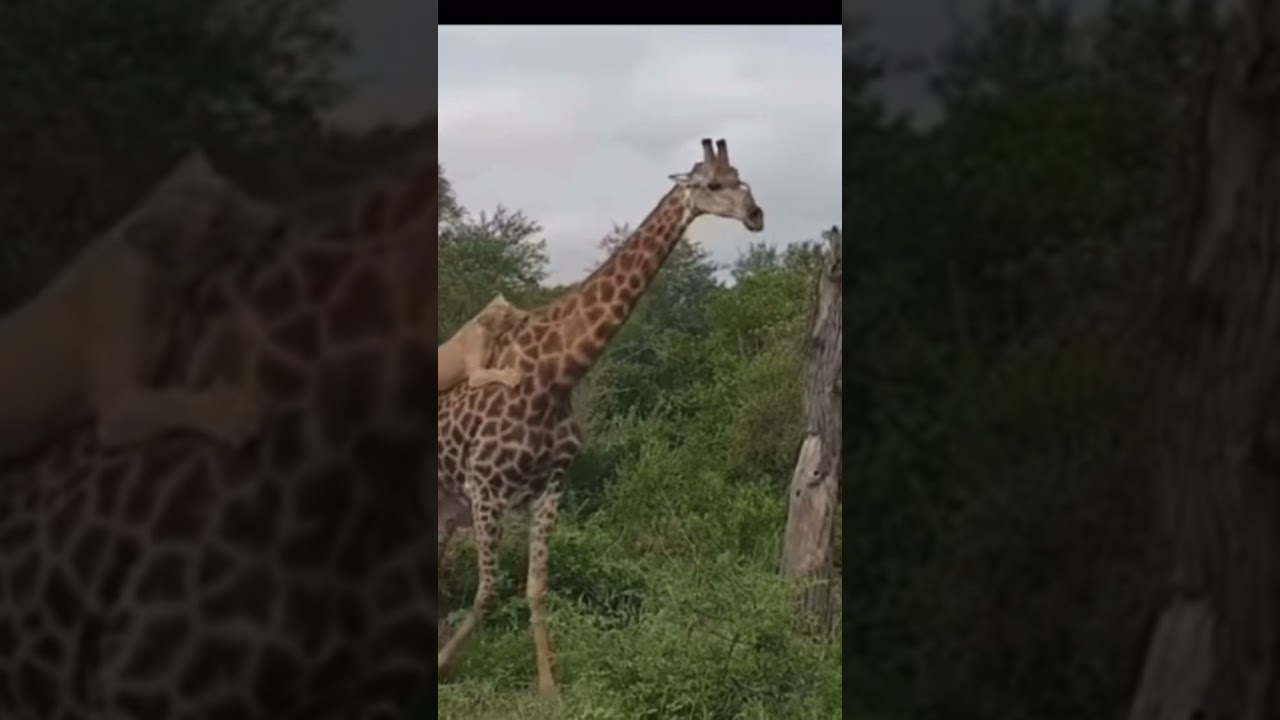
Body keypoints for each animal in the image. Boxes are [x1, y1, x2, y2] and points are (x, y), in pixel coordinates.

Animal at [0, 121, 440, 719]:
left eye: (233, 191)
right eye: (212, 221)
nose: (278, 219)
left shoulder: (380, 692)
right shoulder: (155, 694)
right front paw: (234, 413)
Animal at [437, 138, 764, 695]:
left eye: (743, 178)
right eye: (713, 184)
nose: (756, 215)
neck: (555, 376)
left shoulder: (549, 487)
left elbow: (536, 588)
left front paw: (550, 690)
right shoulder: (485, 488)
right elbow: (488, 592)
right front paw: (442, 666)